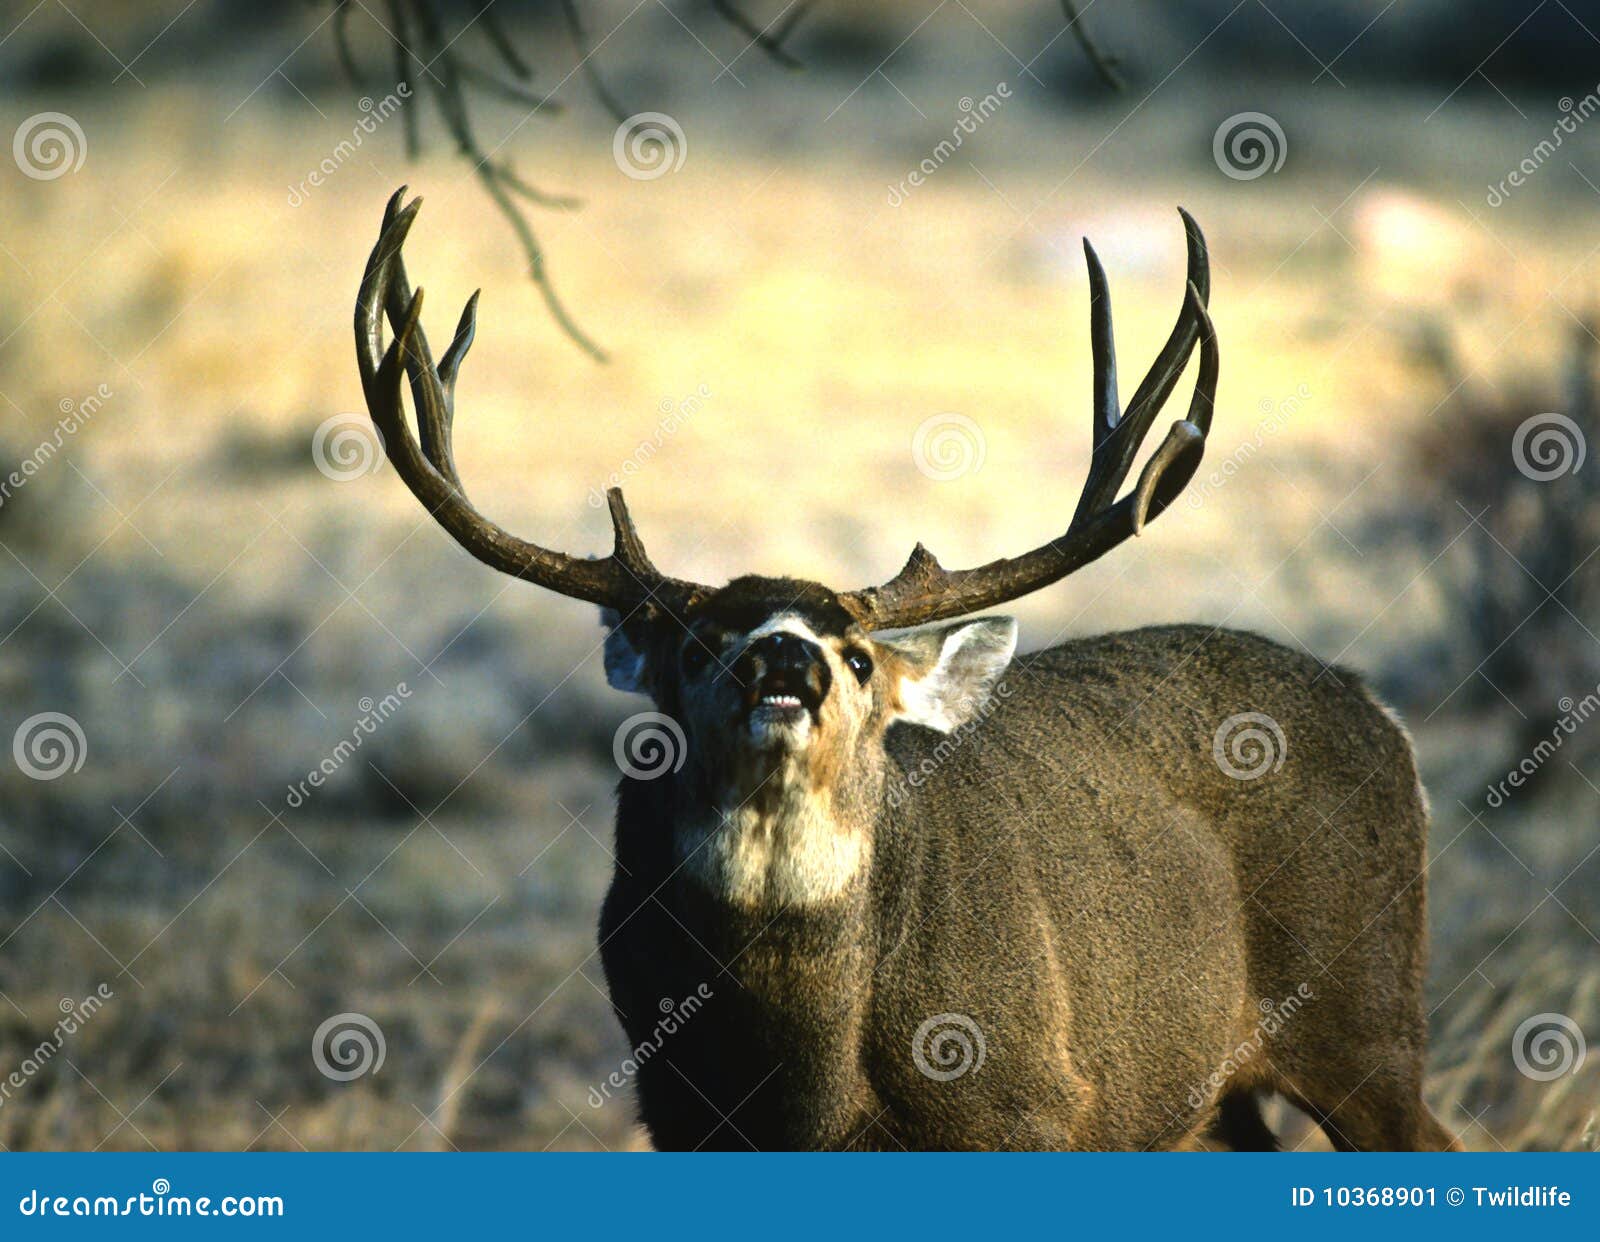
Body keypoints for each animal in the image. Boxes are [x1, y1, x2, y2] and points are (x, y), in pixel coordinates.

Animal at [354, 188, 1461, 1152]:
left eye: (854, 653)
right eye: (700, 642)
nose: (784, 656)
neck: (806, 1087)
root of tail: (1380, 712)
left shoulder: (1030, 1105)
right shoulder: (675, 1110)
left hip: (1363, 1013)